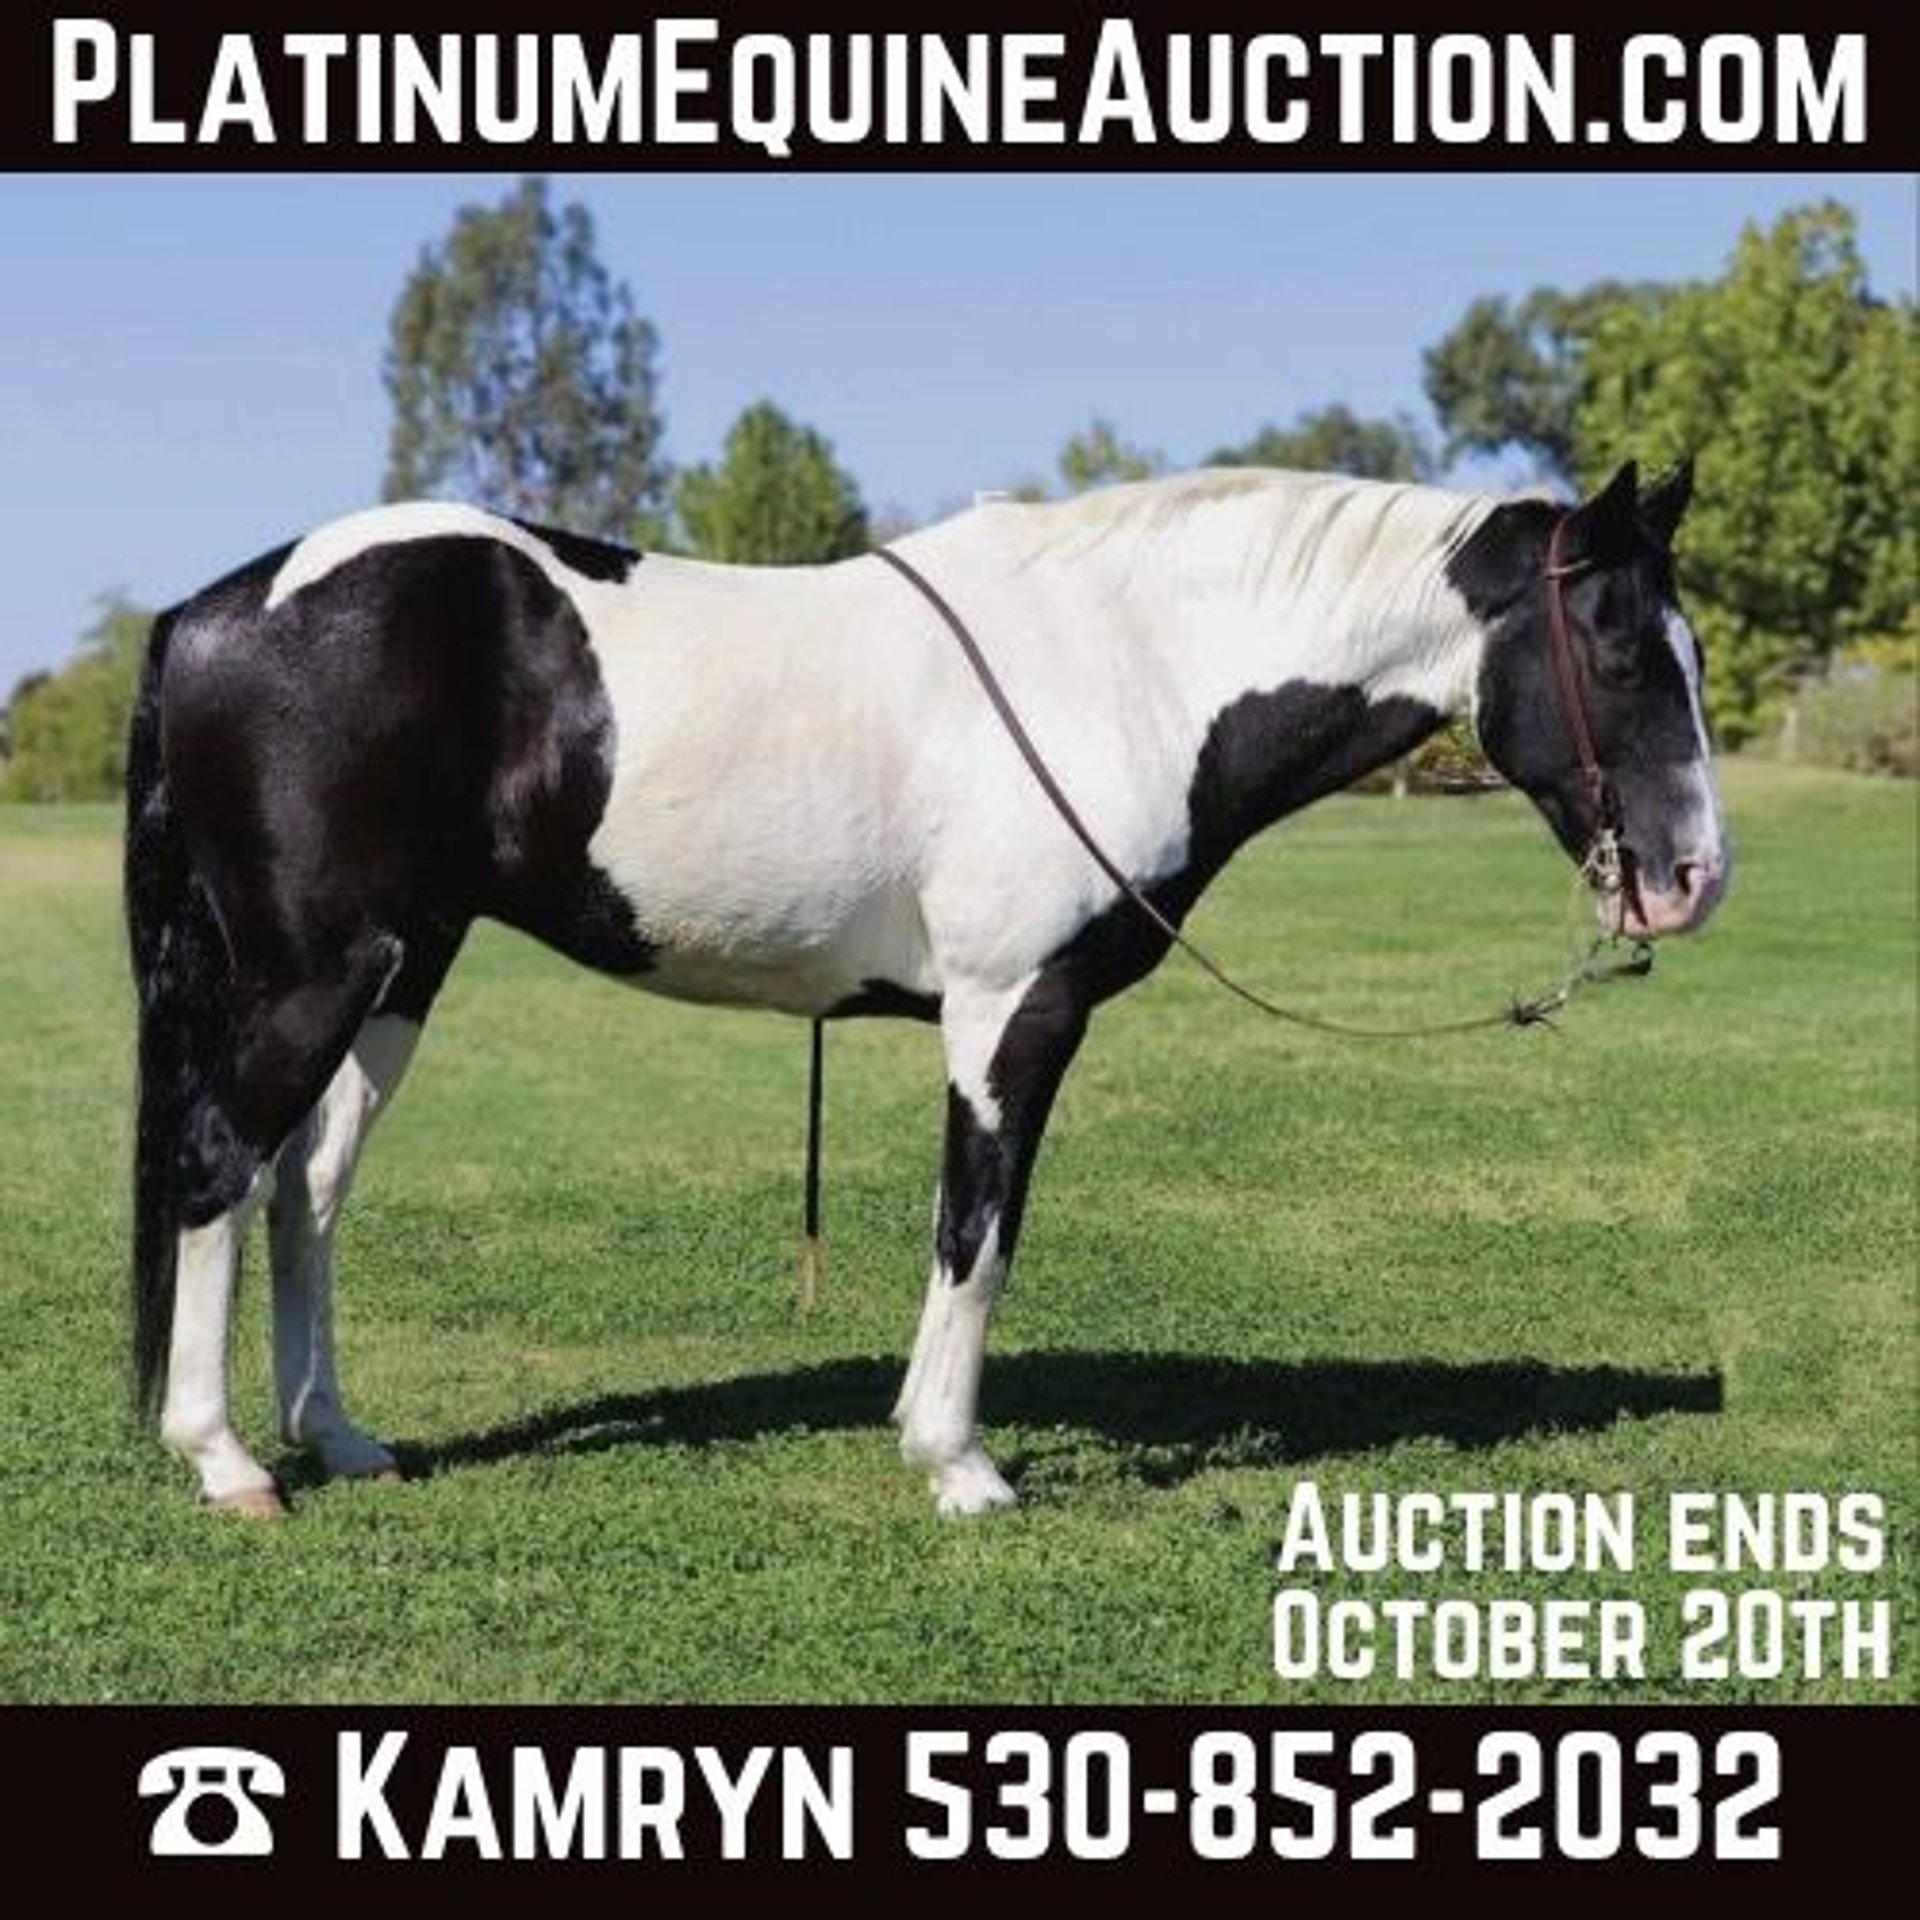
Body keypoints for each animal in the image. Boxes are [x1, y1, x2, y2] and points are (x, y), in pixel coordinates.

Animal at [123, 457, 1726, 1518]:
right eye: (1622, 651)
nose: (1692, 878)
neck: (1129, 667)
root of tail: (211, 609)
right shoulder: (1014, 1011)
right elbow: (978, 1229)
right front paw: (959, 1466)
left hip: (401, 968)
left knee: (306, 1186)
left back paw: (337, 1439)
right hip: (316, 971)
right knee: (220, 1166)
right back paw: (226, 1462)